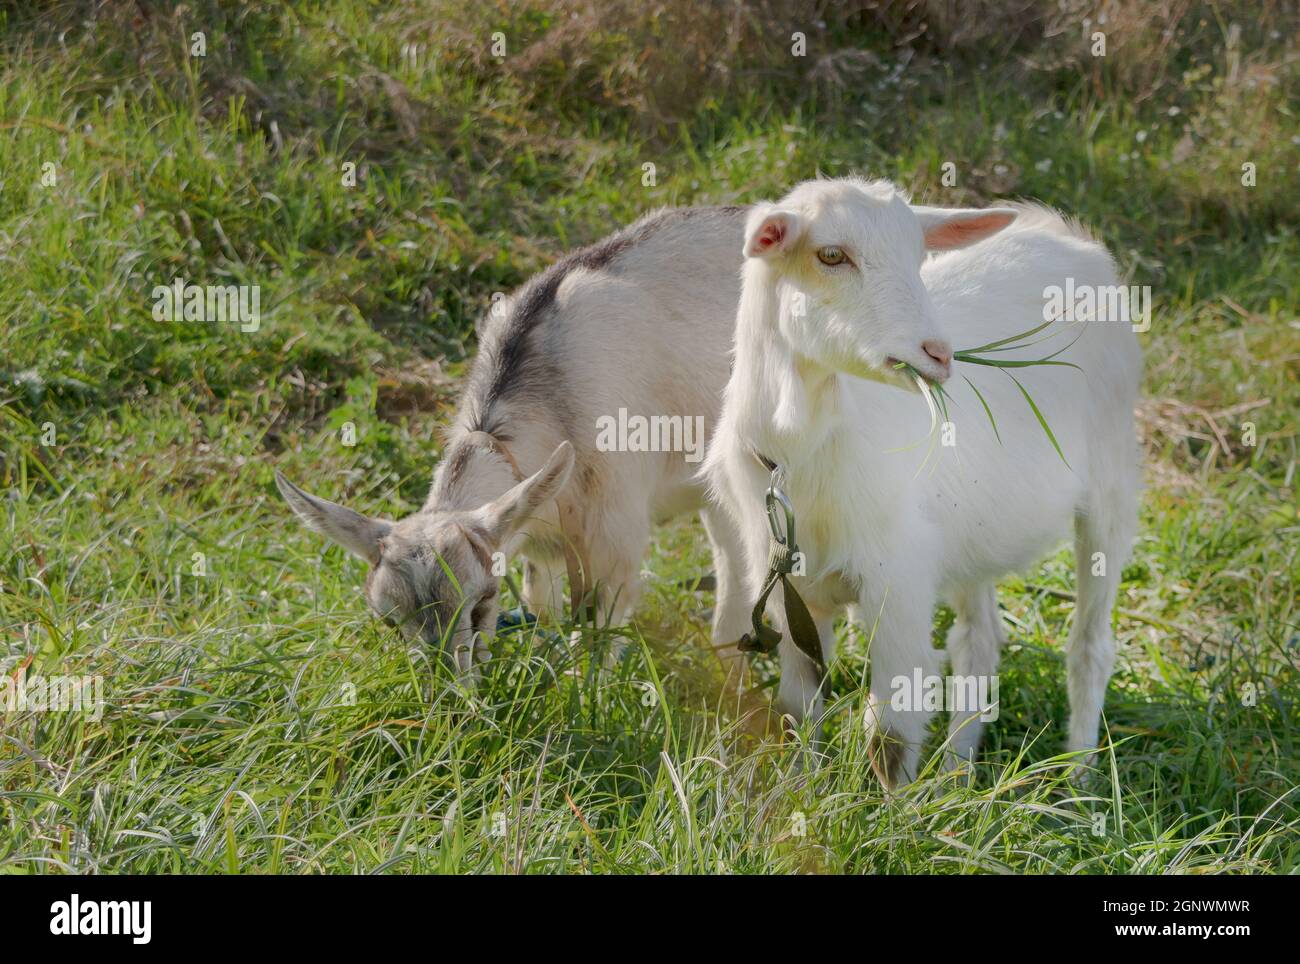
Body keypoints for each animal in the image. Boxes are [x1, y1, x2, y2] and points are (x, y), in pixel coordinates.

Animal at [277, 207, 757, 679]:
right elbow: (543, 608)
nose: (447, 692)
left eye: (482, 600)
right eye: (389, 620)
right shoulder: (540, 542)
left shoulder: (612, 539)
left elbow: (595, 642)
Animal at [704, 177, 1142, 785]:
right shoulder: (792, 593)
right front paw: (801, 793)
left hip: (1110, 487)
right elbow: (798, 709)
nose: (939, 354)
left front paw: (893, 809)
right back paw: (958, 776)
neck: (800, 451)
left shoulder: (899, 581)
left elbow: (889, 731)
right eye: (831, 255)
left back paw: (1077, 780)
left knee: (1090, 646)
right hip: (972, 528)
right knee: (979, 640)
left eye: (918, 254)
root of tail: (1067, 237)